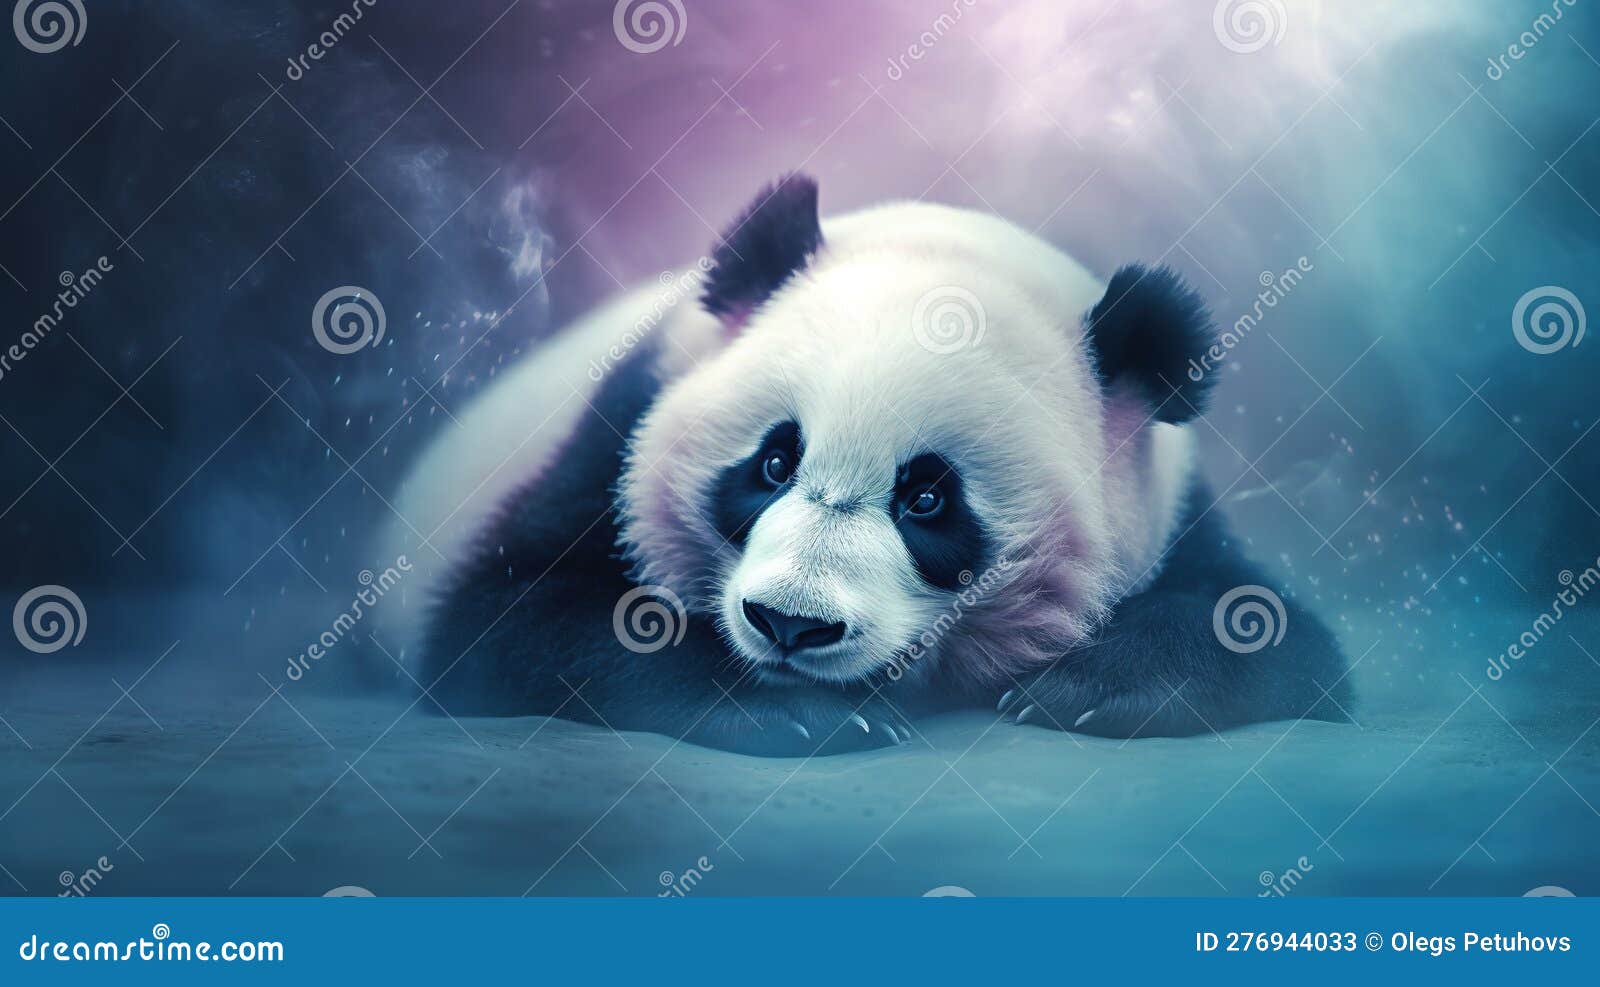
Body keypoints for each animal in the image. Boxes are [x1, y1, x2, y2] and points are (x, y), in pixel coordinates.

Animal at [377, 174, 1351, 756]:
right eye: (773, 462)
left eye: (927, 500)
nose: (790, 624)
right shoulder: (613, 435)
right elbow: (507, 618)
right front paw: (786, 707)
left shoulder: (1167, 507)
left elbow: (1274, 634)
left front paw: (1091, 683)